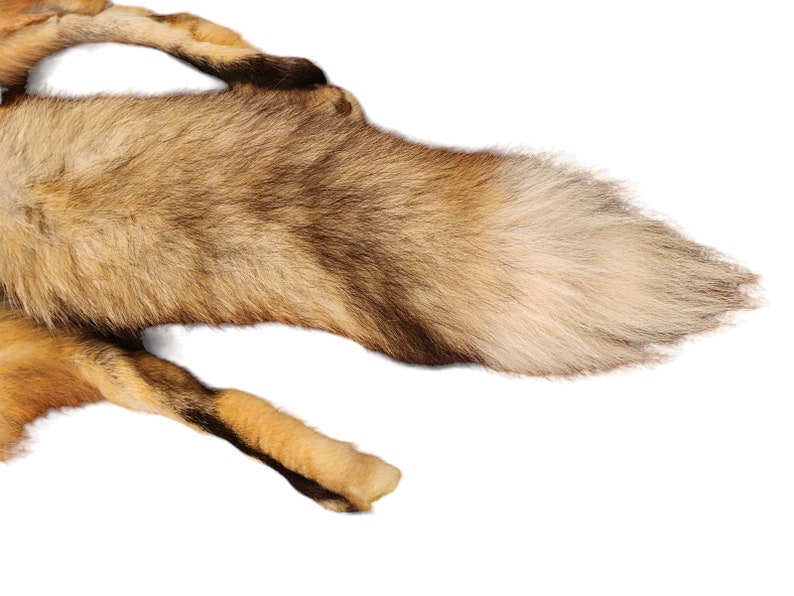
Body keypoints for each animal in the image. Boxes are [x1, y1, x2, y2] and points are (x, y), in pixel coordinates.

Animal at [0, 0, 758, 512]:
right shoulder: (87, 359)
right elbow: (220, 412)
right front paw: (347, 478)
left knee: (97, 16)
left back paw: (292, 80)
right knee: (114, 20)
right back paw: (301, 85)